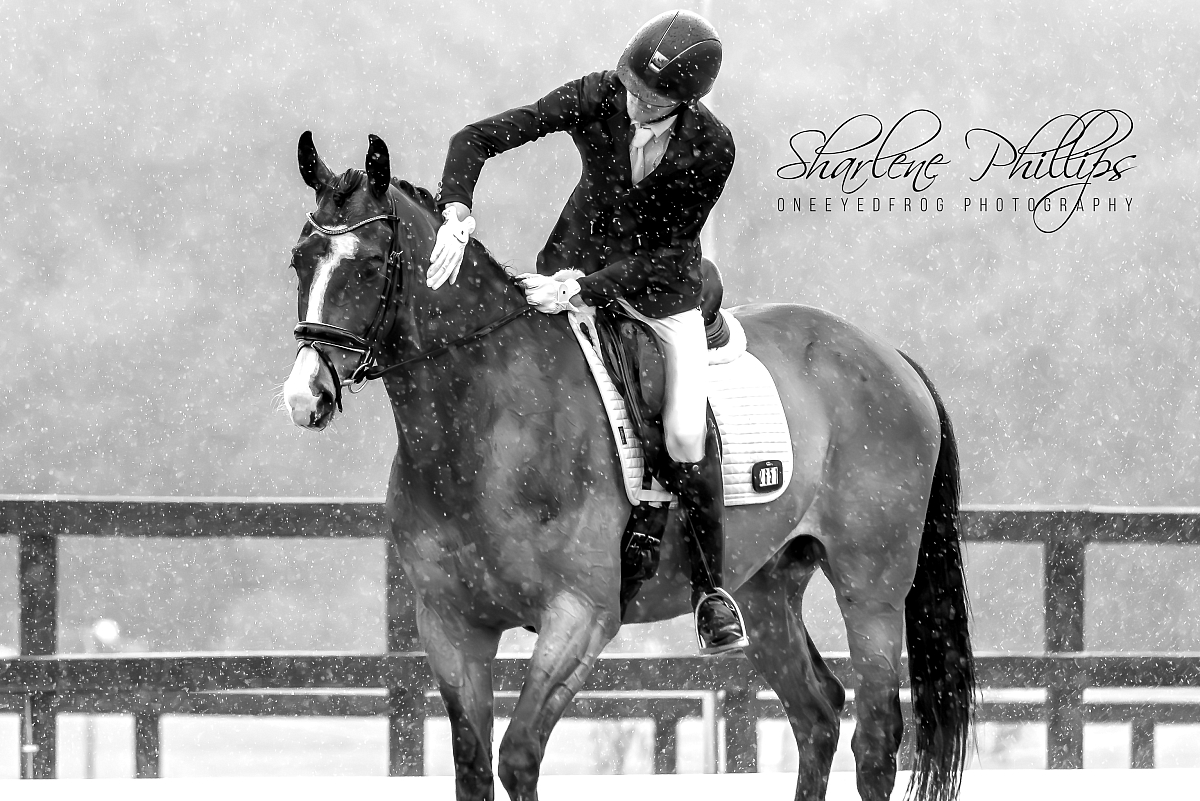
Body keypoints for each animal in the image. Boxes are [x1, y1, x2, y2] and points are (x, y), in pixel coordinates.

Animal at [281, 132, 975, 801]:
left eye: (372, 264)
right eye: (299, 260)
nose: (304, 396)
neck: (486, 428)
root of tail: (885, 355)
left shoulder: (580, 616)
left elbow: (519, 756)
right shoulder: (450, 627)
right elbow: (474, 768)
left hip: (871, 590)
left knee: (875, 741)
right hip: (768, 587)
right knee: (817, 717)